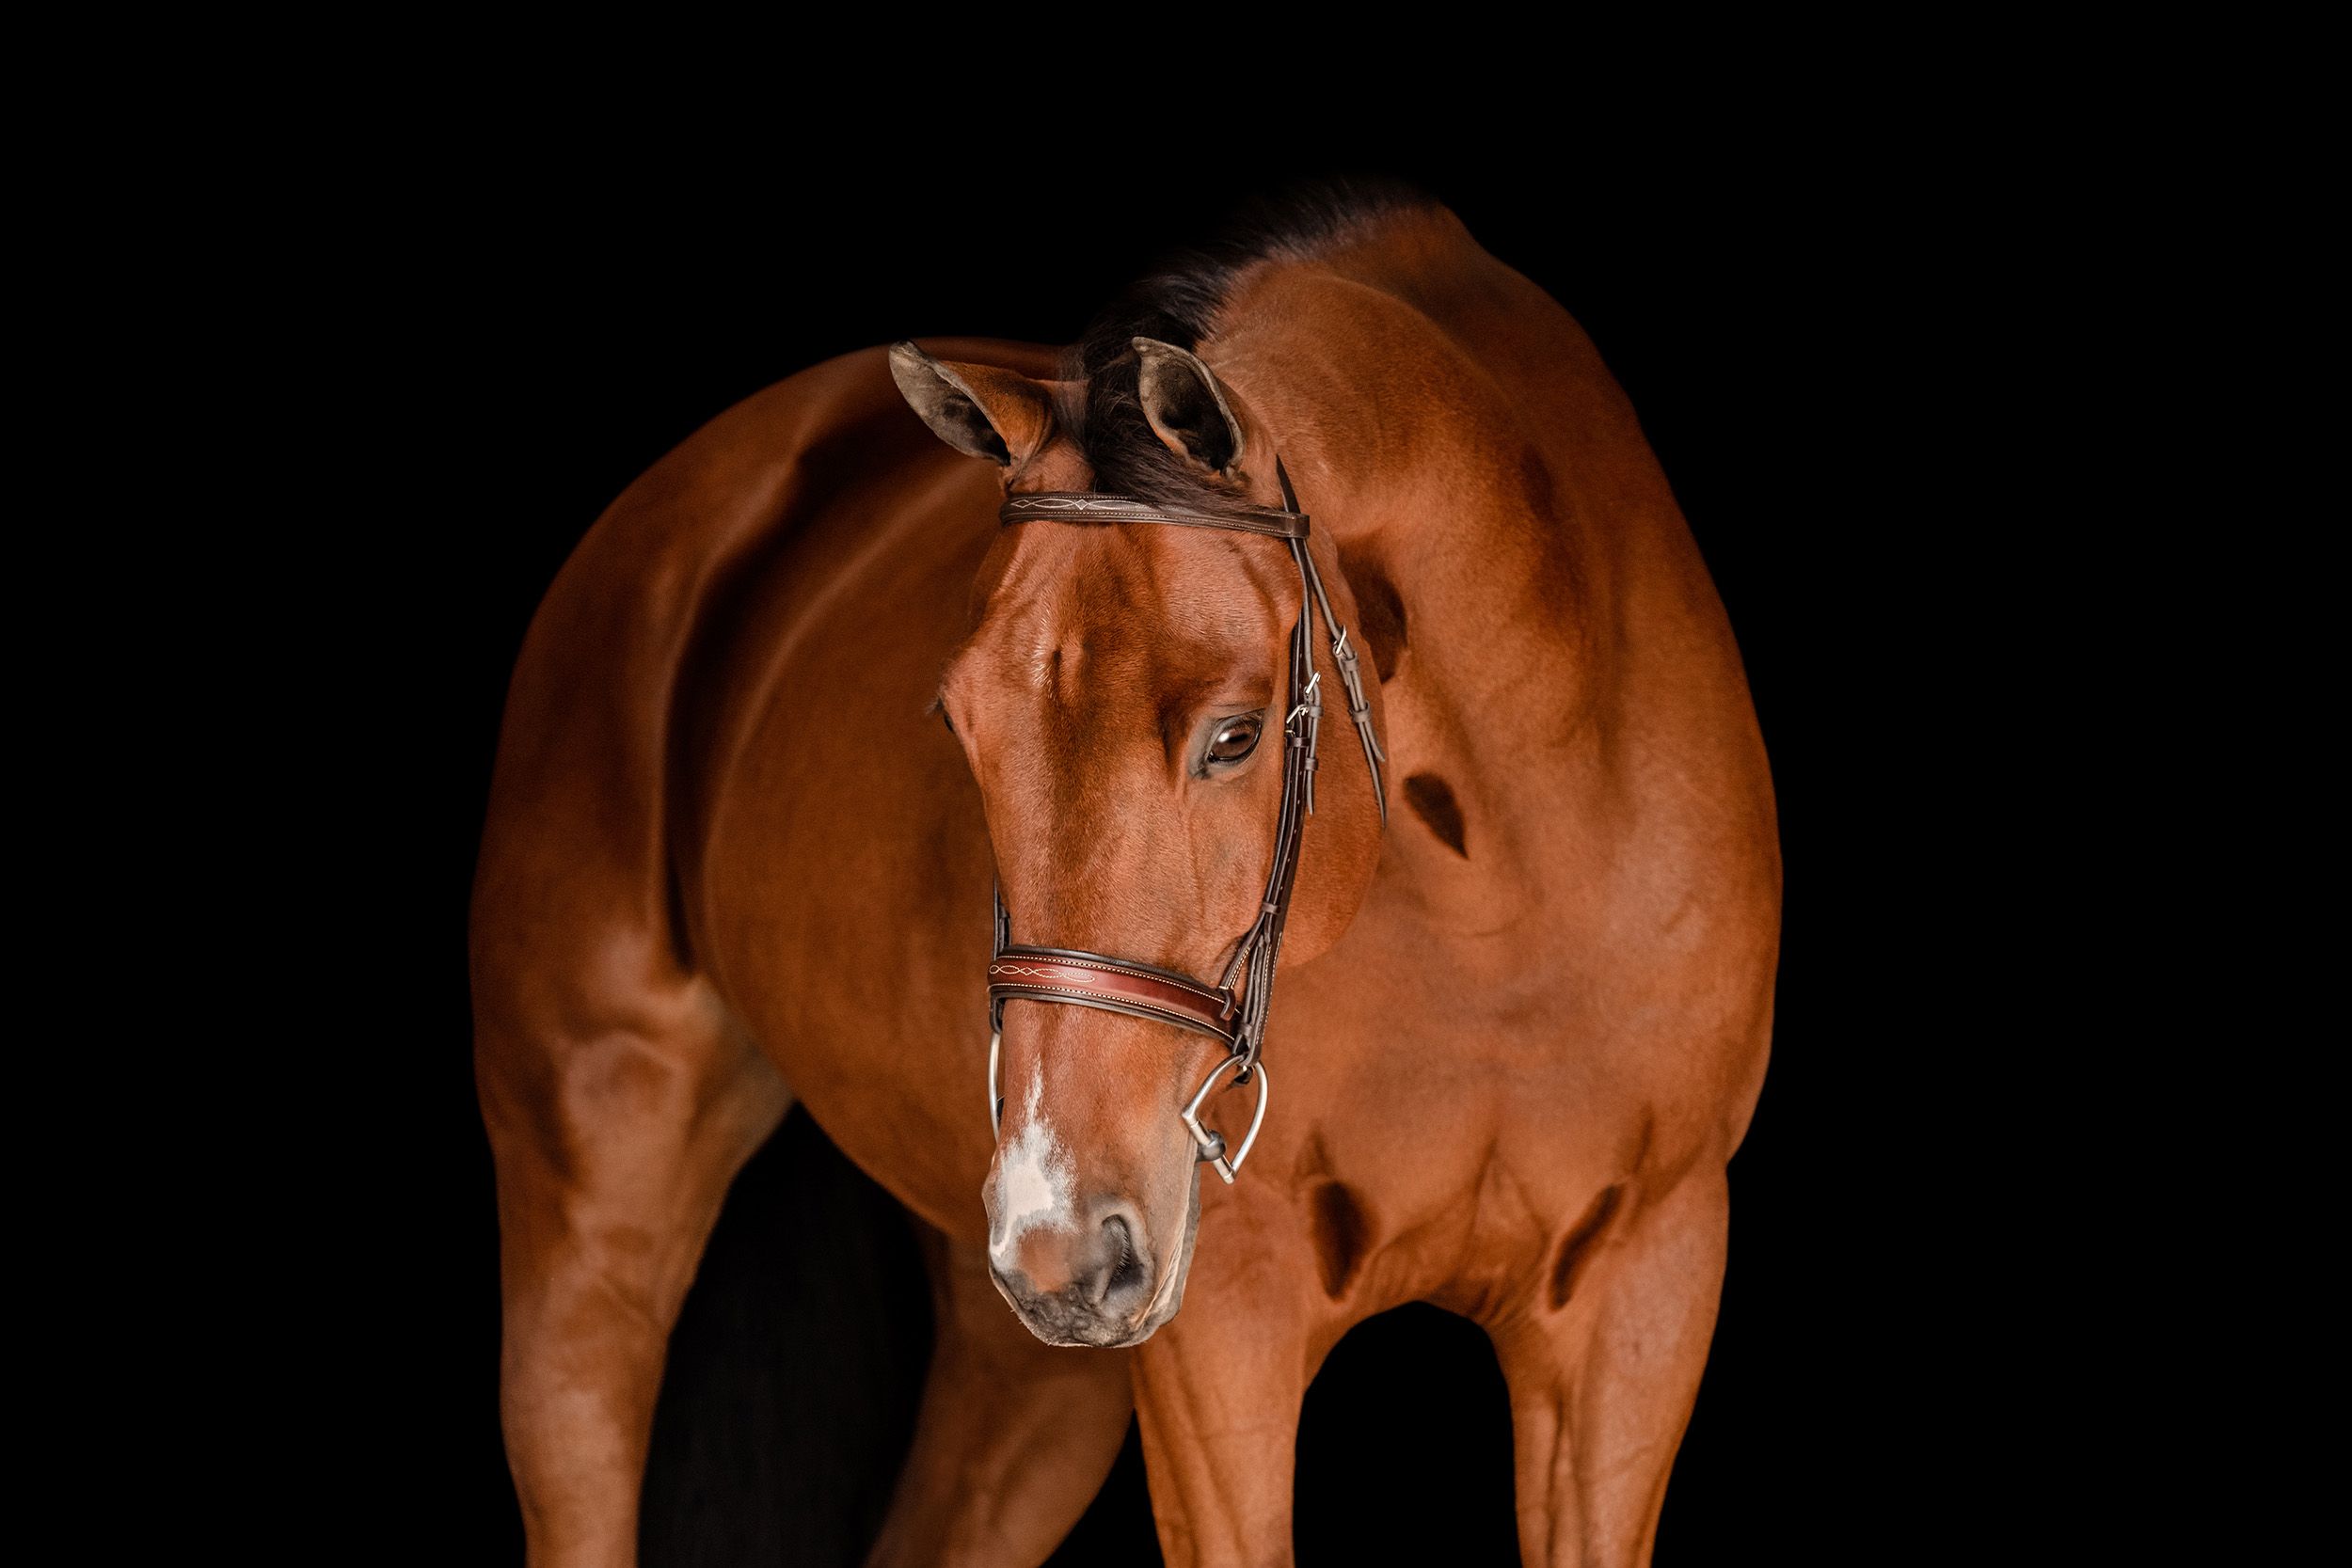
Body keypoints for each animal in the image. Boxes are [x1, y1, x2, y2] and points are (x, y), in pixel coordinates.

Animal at [472, 184, 1780, 1568]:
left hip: (1025, 1355)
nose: (1060, 1231)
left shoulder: (1643, 1295)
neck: (1501, 914)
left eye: (1238, 734)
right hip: (596, 1217)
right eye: (958, 724)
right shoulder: (1226, 1323)